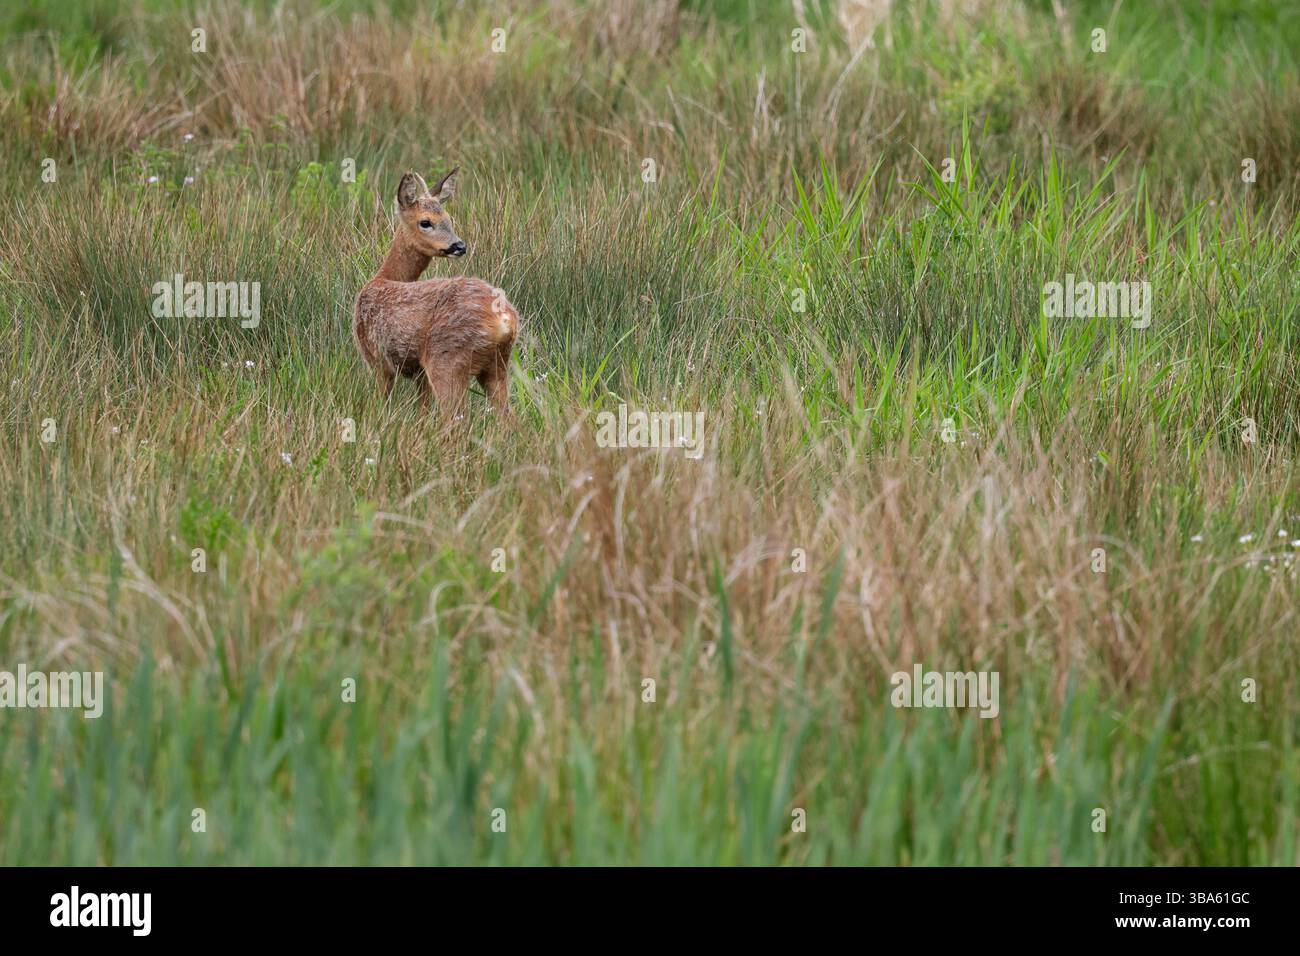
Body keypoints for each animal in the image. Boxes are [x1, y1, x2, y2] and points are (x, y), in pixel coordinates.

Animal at [353, 168, 520, 423]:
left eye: (448, 218)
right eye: (425, 222)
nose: (459, 246)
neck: (383, 277)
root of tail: (503, 320)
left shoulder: (378, 359)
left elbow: (382, 404)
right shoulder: (420, 374)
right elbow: (422, 411)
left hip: (447, 360)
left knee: (456, 419)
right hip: (498, 364)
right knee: (509, 419)